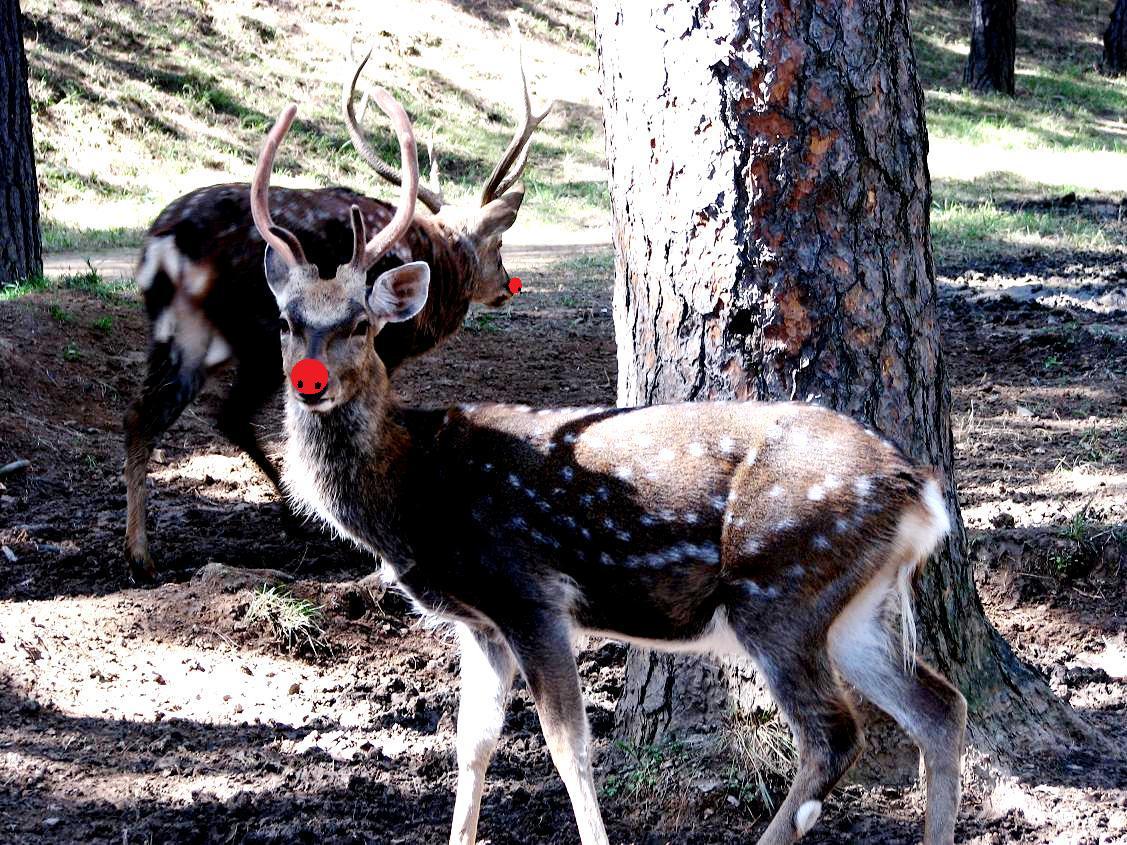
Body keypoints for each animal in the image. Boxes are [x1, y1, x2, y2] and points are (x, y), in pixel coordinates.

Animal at [122, 22, 552, 582]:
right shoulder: (380, 345)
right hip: (259, 337)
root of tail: (164, 242)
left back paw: (141, 554)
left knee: (144, 416)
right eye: (499, 244)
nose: (505, 286)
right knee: (227, 414)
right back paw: (288, 516)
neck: (439, 265)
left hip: (182, 335)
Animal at [254, 93, 967, 845]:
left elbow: (569, 748)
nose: (308, 383)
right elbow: (472, 743)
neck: (412, 494)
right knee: (940, 706)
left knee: (834, 734)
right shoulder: (480, 623)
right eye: (286, 321)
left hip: (782, 586)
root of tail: (918, 487)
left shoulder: (529, 593)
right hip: (858, 605)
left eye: (361, 325)